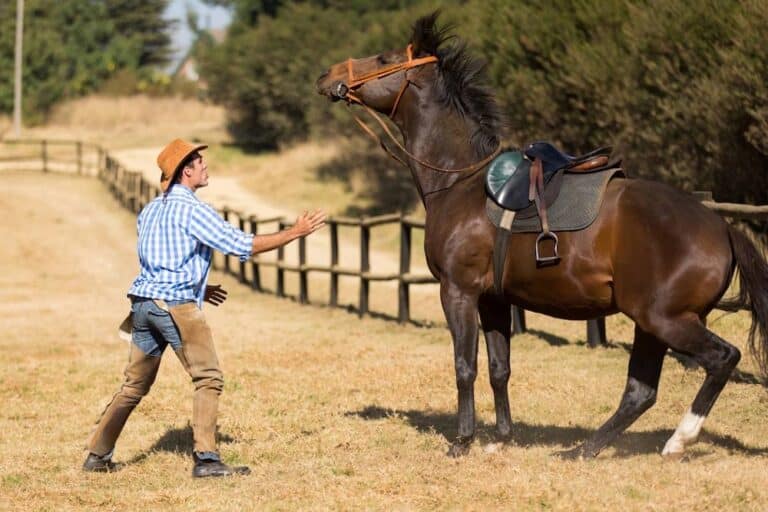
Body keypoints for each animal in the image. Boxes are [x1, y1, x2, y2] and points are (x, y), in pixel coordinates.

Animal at [315, 12, 768, 458]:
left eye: (382, 58)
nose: (326, 75)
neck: (461, 181)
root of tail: (721, 226)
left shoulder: (458, 291)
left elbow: (465, 367)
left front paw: (463, 441)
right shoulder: (494, 300)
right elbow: (499, 368)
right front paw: (501, 438)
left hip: (664, 319)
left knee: (721, 358)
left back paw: (677, 440)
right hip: (651, 325)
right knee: (640, 392)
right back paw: (583, 450)